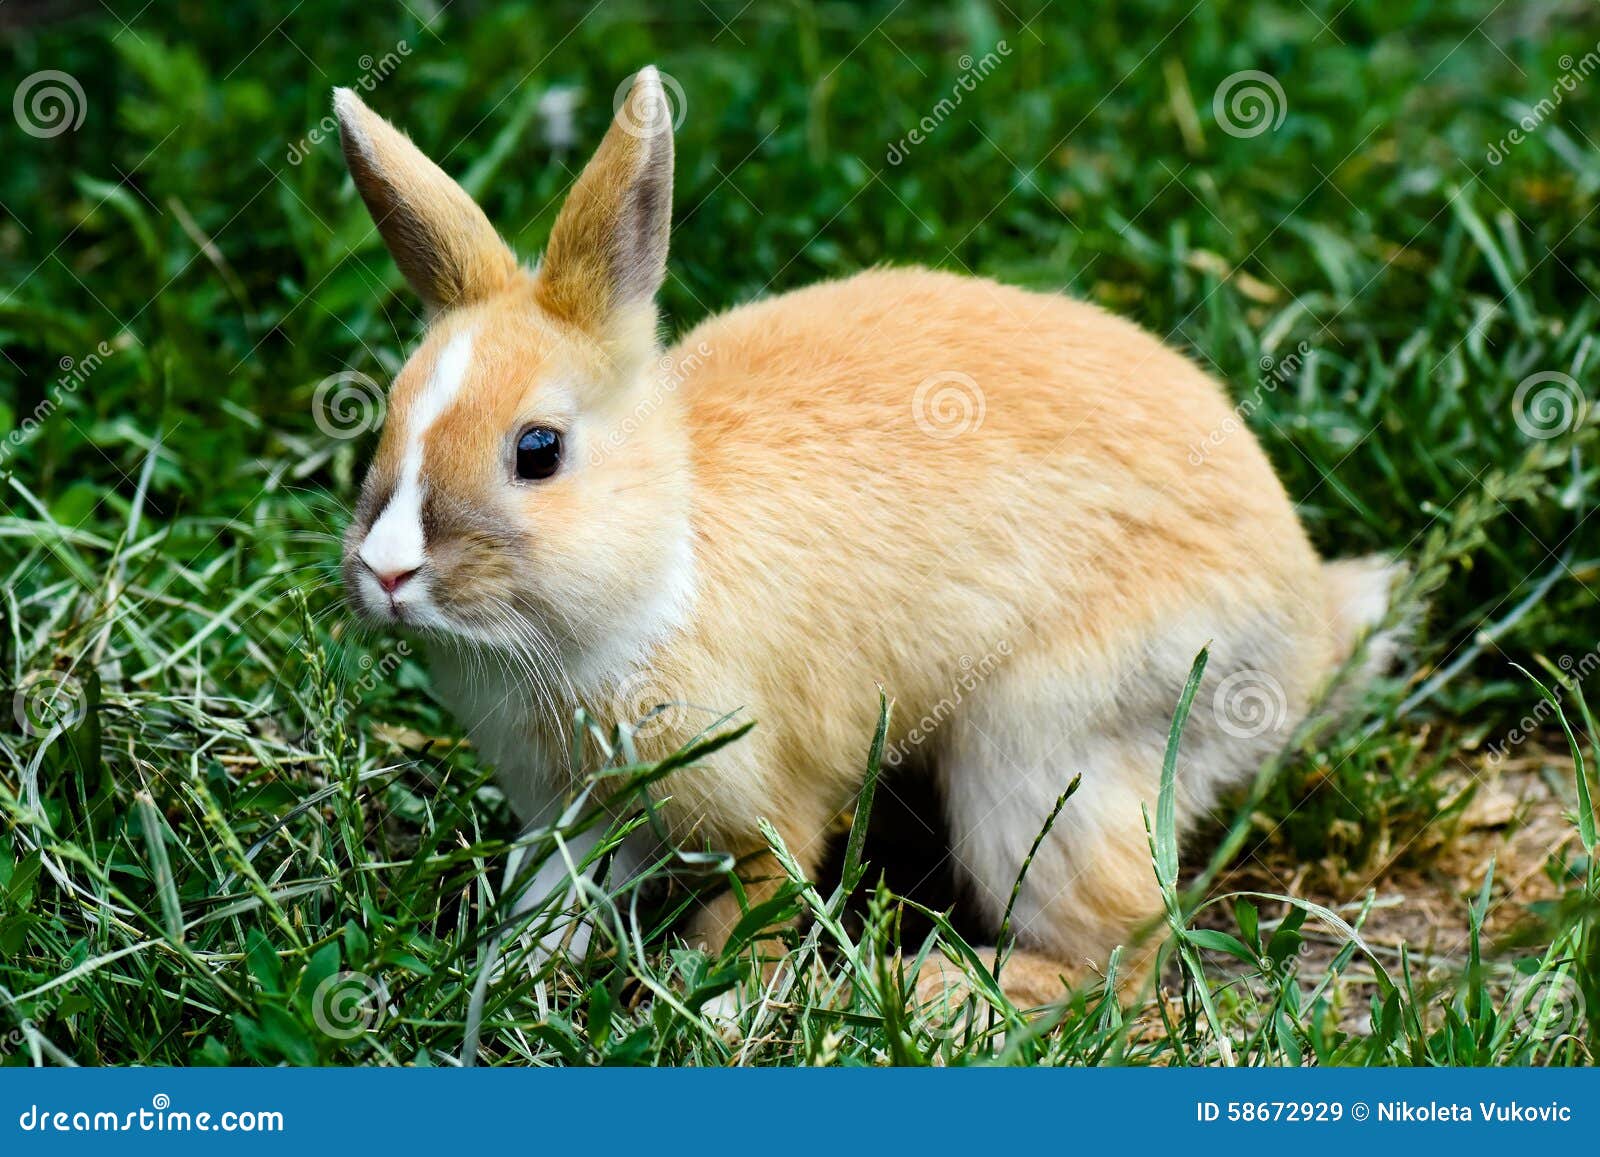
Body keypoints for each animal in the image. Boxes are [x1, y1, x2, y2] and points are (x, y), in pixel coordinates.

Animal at [335, 68, 1400, 1008]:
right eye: (383, 419)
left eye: (539, 450)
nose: (386, 572)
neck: (664, 565)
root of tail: (1306, 635)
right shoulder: (573, 807)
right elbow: (554, 896)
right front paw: (514, 971)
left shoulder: (769, 798)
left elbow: (757, 908)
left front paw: (726, 1008)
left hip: (1045, 757)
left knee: (1117, 955)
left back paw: (943, 991)